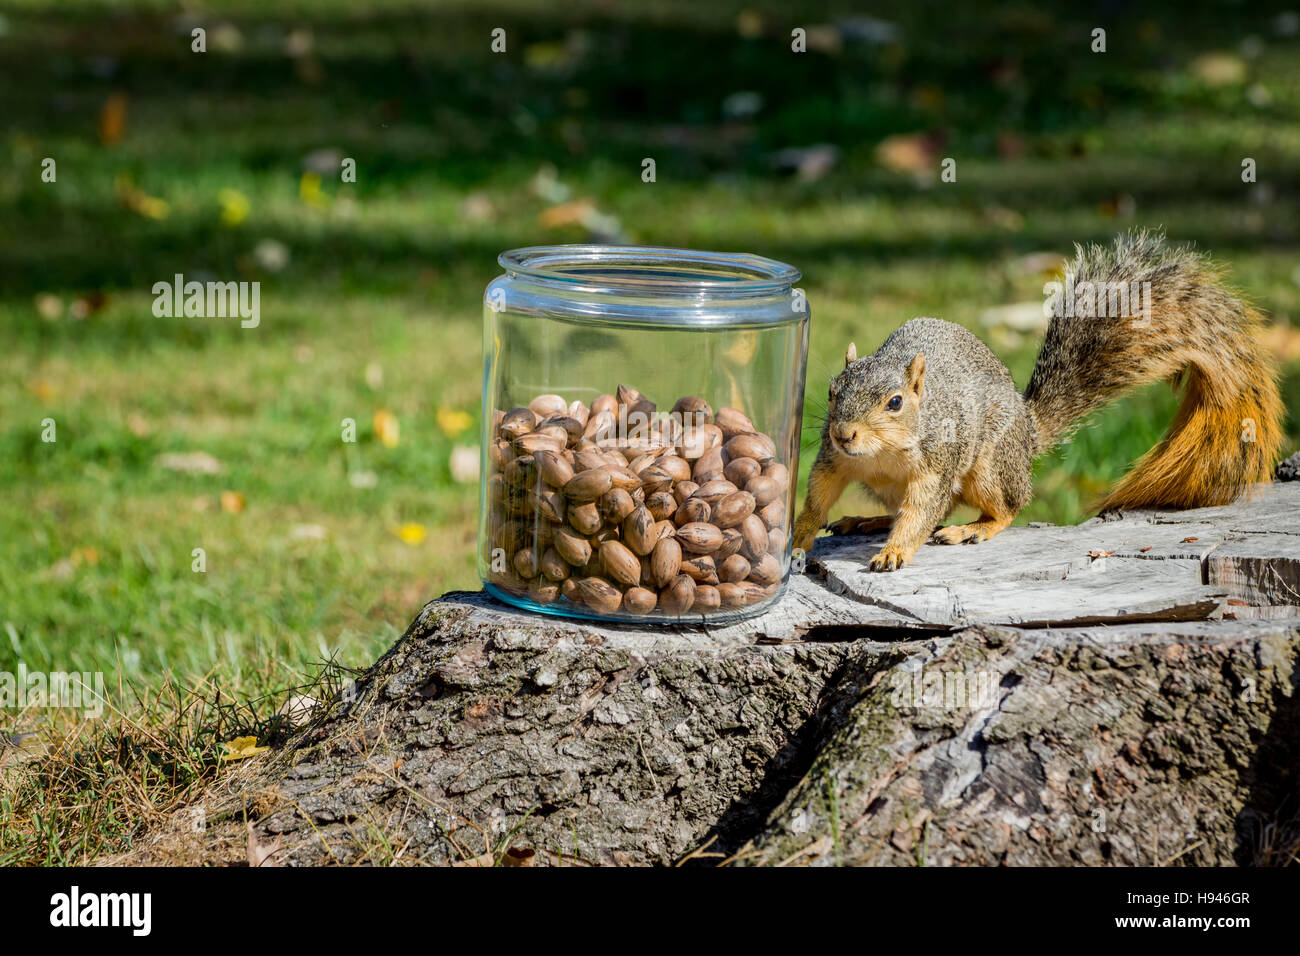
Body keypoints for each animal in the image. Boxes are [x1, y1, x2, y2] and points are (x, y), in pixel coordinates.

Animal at [793, 230, 1284, 572]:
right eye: (833, 391)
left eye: (895, 402)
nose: (844, 433)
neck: (881, 453)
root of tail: (1028, 433)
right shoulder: (834, 461)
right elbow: (817, 496)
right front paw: (797, 541)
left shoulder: (936, 463)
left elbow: (922, 511)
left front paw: (894, 552)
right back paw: (869, 521)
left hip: (991, 466)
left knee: (1004, 505)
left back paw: (972, 529)